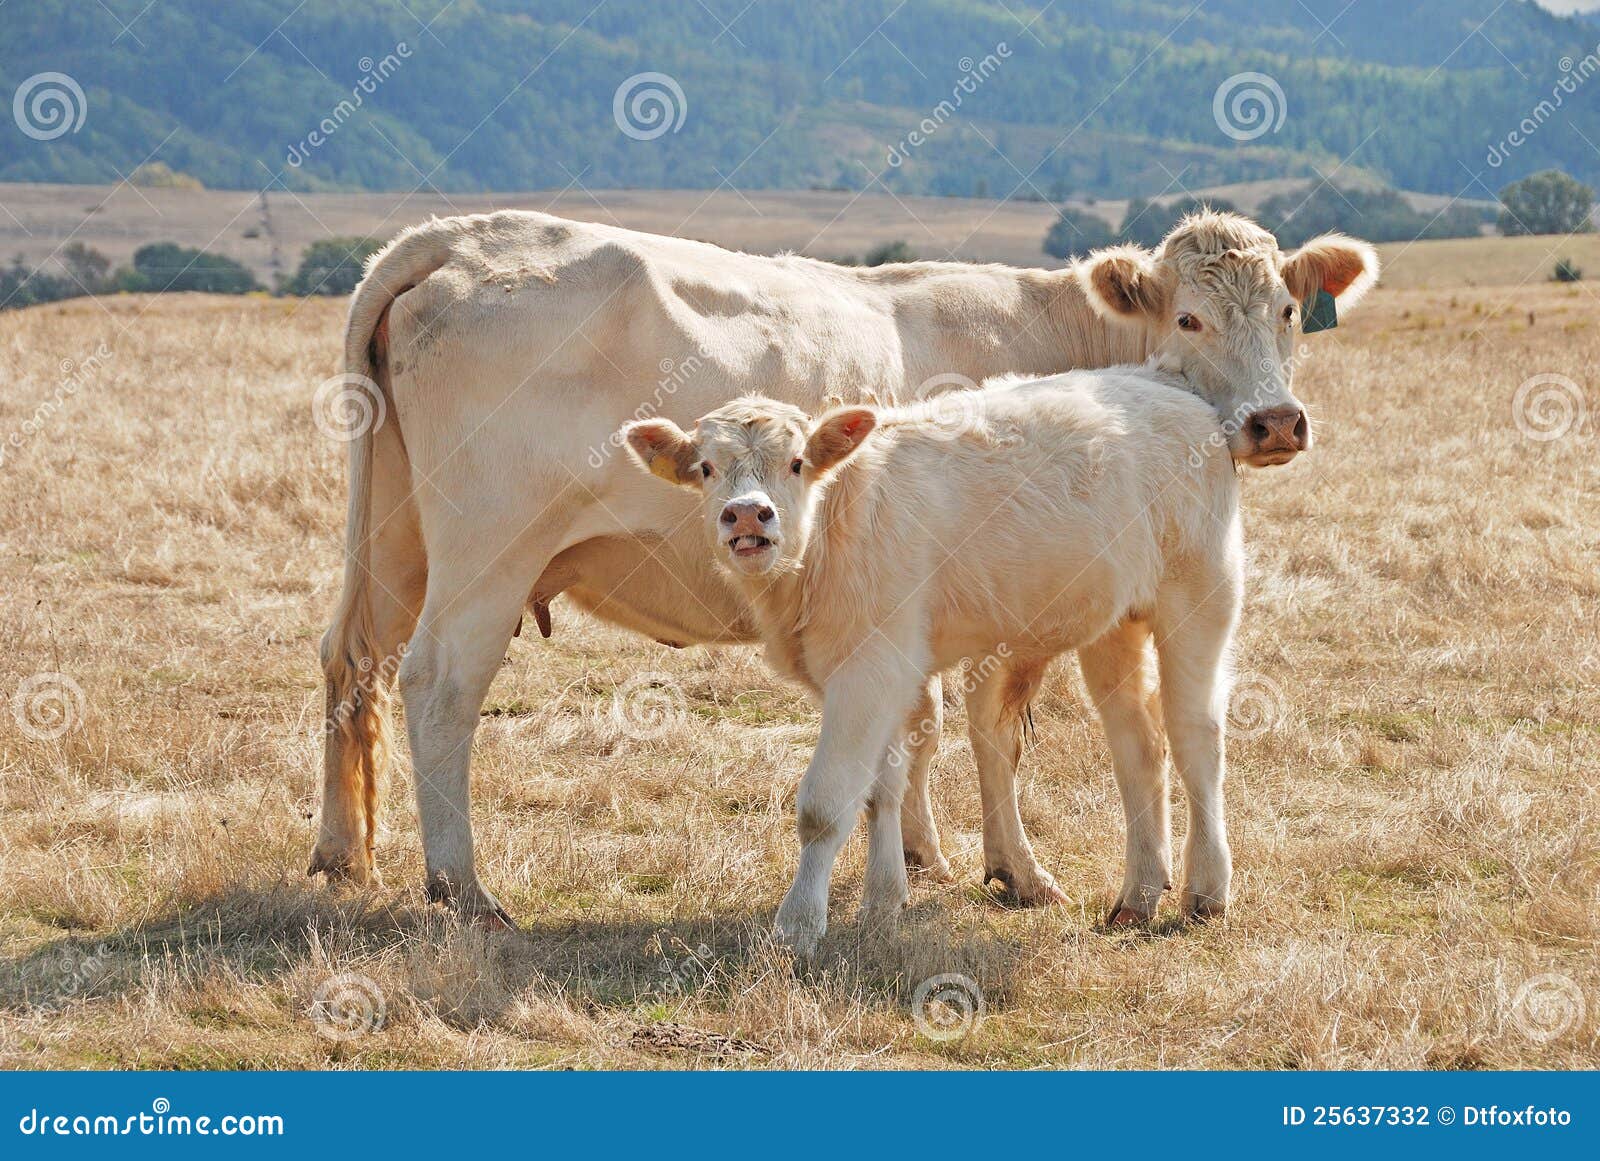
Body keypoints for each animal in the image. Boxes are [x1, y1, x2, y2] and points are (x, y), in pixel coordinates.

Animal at [622, 367, 1245, 955]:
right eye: (707, 468)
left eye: (796, 463)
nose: (749, 515)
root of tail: (1172, 391)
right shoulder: (885, 674)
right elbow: (883, 787)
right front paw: (882, 903)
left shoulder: (868, 668)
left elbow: (826, 803)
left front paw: (797, 926)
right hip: (1114, 624)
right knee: (1137, 746)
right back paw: (1138, 896)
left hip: (1201, 597)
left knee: (1196, 738)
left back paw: (1206, 891)